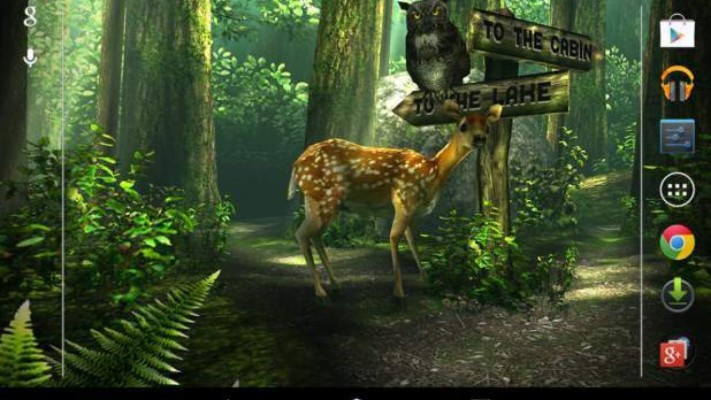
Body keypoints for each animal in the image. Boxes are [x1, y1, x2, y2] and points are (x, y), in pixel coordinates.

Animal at [288, 100, 503, 299]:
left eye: (487, 127)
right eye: (463, 125)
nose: (480, 138)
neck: (432, 171)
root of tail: (296, 165)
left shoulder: (412, 209)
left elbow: (412, 241)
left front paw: (427, 281)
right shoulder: (404, 197)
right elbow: (394, 237)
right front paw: (399, 292)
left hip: (321, 202)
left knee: (315, 235)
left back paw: (334, 284)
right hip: (325, 197)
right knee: (302, 234)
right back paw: (320, 290)